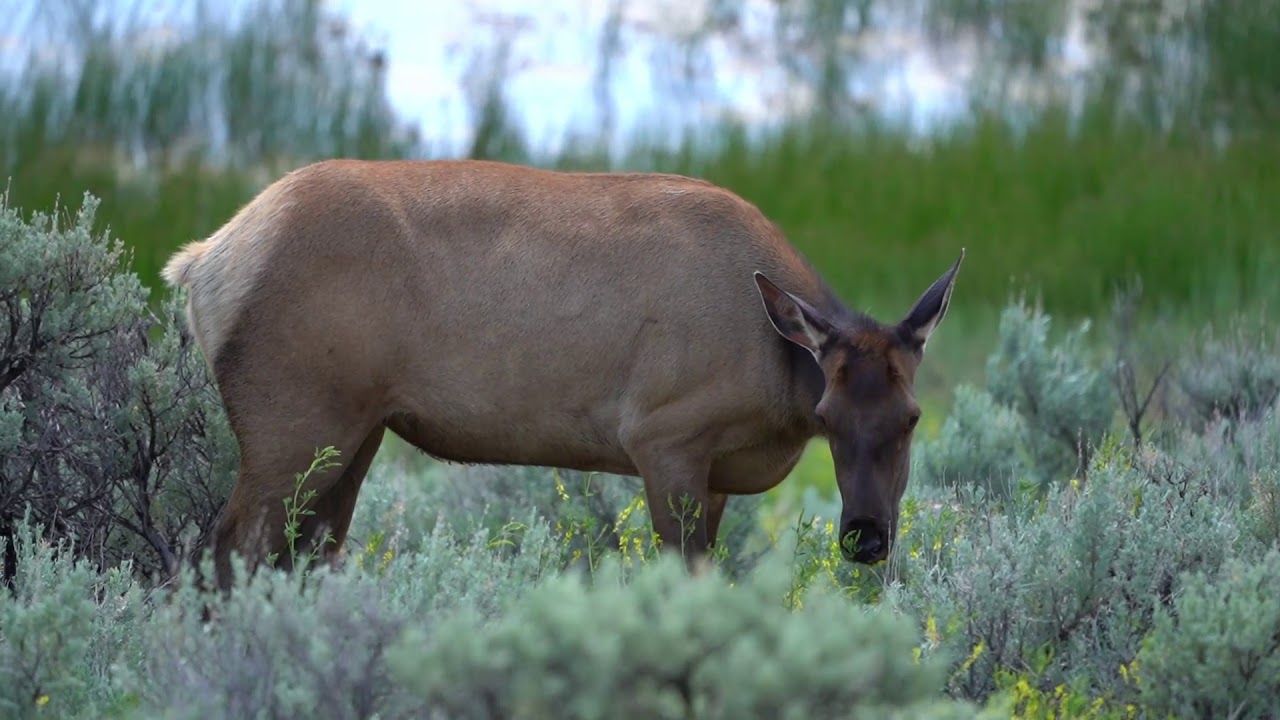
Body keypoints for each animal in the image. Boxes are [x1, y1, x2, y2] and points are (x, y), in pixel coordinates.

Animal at [161, 158, 963, 591]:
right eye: (826, 417)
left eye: (912, 418)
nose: (866, 536)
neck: (775, 388)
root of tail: (201, 264)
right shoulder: (665, 432)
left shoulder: (715, 472)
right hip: (293, 415)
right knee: (230, 549)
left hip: (355, 427)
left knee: (307, 551)